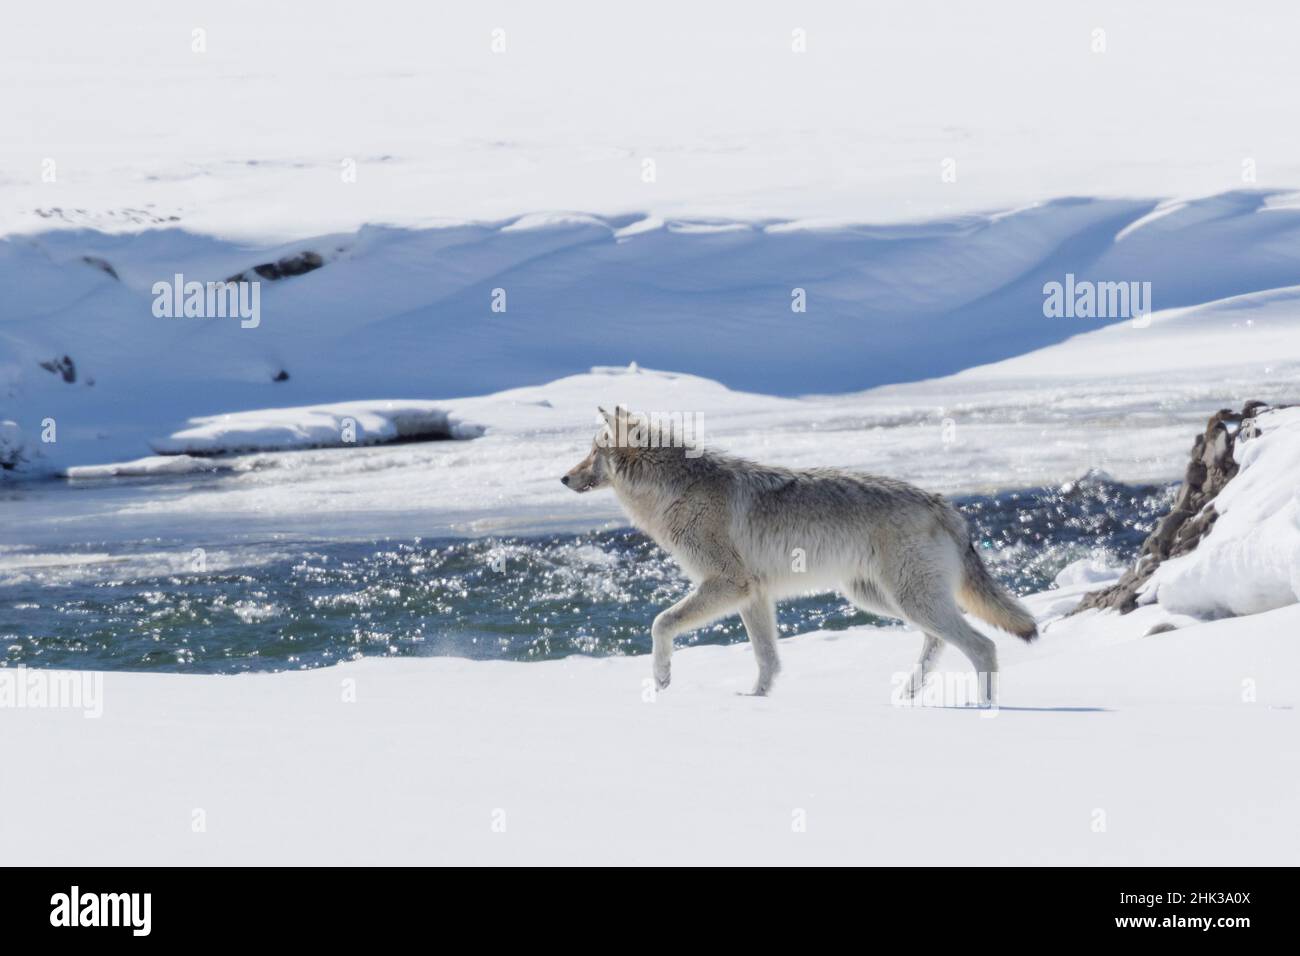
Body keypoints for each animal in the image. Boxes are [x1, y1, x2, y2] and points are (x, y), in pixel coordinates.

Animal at [561, 407, 1037, 704]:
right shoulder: (753, 596)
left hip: (908, 599)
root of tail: (946, 505)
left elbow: (660, 622)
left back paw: (982, 709)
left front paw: (661, 678)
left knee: (982, 645)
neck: (676, 490)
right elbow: (767, 658)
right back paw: (909, 694)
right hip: (881, 599)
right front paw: (756, 699)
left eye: (594, 452)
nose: (563, 478)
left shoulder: (728, 584)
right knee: (938, 641)